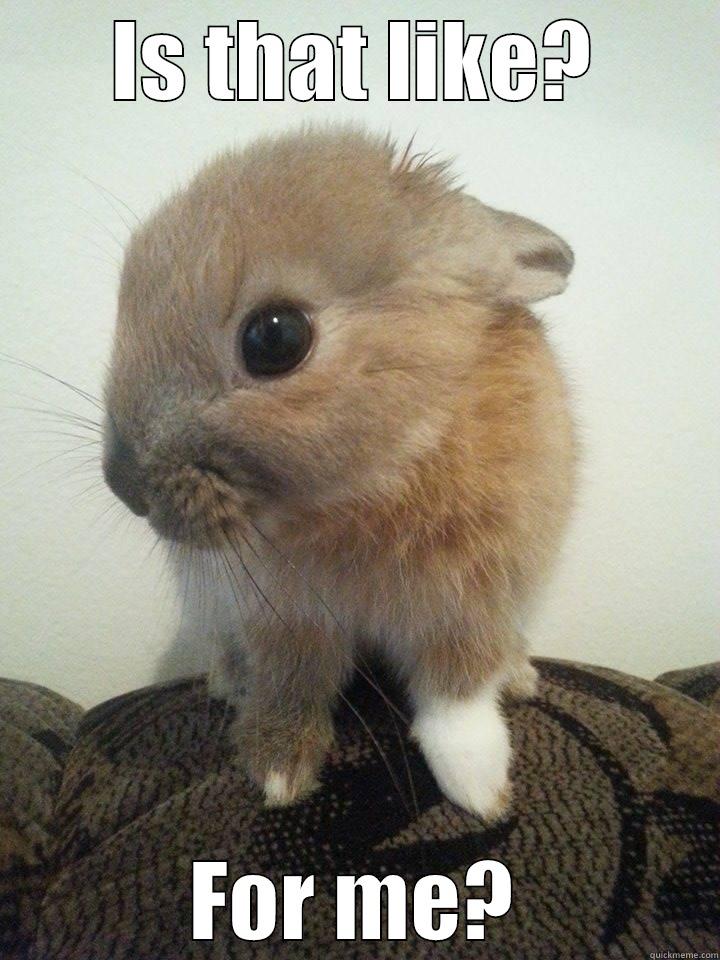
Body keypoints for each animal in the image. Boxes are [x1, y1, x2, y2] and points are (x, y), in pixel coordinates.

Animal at [102, 127, 577, 820]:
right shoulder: (283, 617)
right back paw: (227, 680)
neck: (367, 490)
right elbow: (291, 683)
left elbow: (456, 696)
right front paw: (278, 772)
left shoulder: (469, 601)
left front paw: (479, 788)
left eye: (275, 338)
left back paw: (518, 676)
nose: (126, 486)